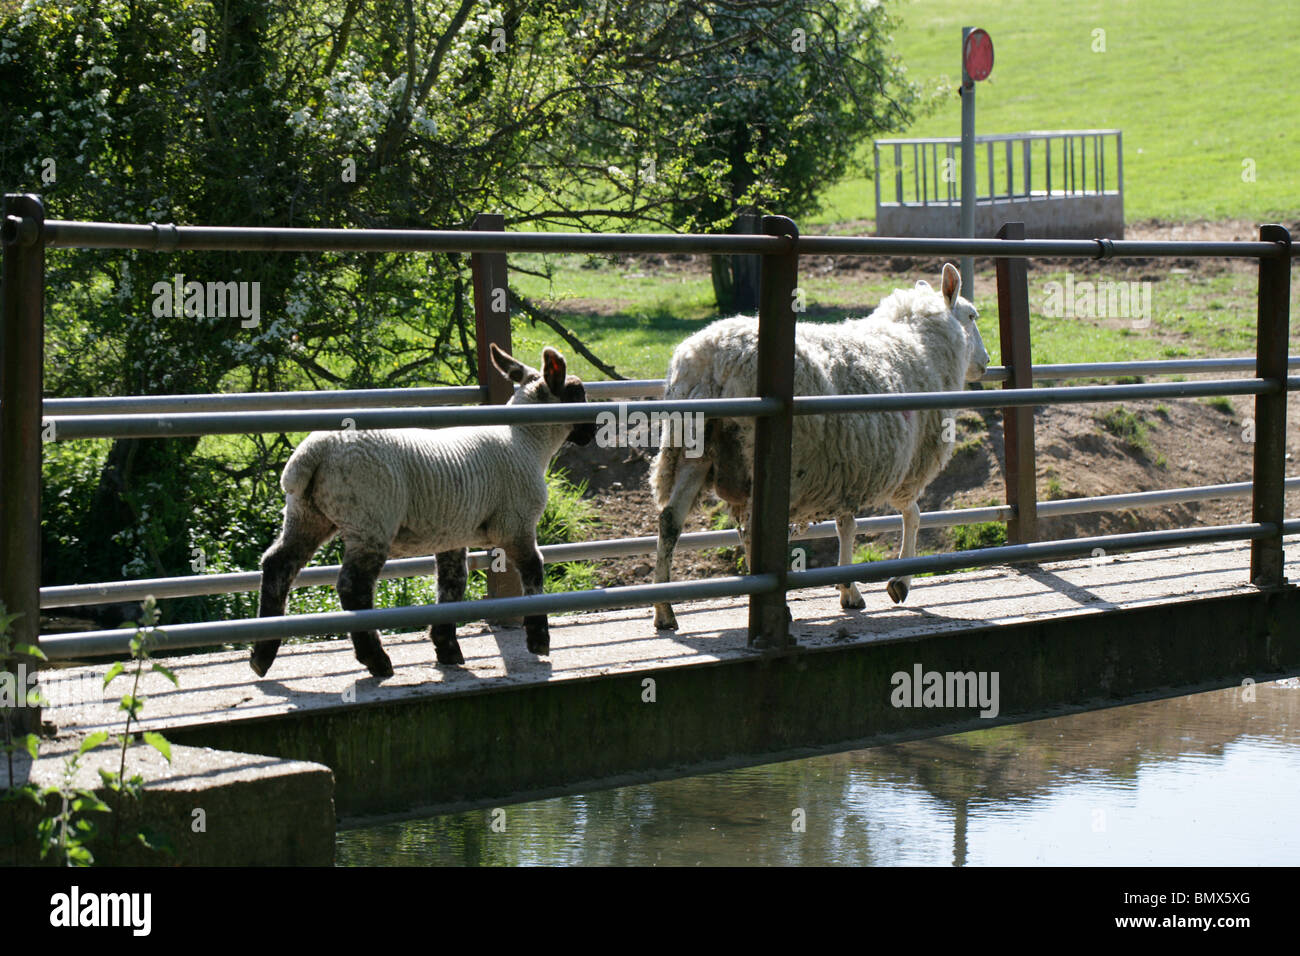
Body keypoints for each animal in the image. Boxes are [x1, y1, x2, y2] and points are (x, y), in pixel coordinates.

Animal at [249, 345, 597, 678]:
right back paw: (376, 660)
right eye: (578, 393)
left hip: (306, 513)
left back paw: (261, 655)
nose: (592, 433)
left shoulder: (453, 534)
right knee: (352, 587)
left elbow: (452, 585)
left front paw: (447, 649)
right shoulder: (516, 524)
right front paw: (538, 641)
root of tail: (313, 453)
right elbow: (534, 573)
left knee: (278, 565)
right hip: (370, 518)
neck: (527, 441)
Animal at [649, 262, 989, 629]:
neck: (921, 341)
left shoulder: (846, 466)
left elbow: (847, 526)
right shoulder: (909, 465)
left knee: (670, 521)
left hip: (693, 451)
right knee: (752, 530)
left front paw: (849, 590)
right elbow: (913, 515)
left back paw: (664, 611)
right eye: (972, 315)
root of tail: (711, 361)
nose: (986, 362)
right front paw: (900, 582)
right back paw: (772, 608)